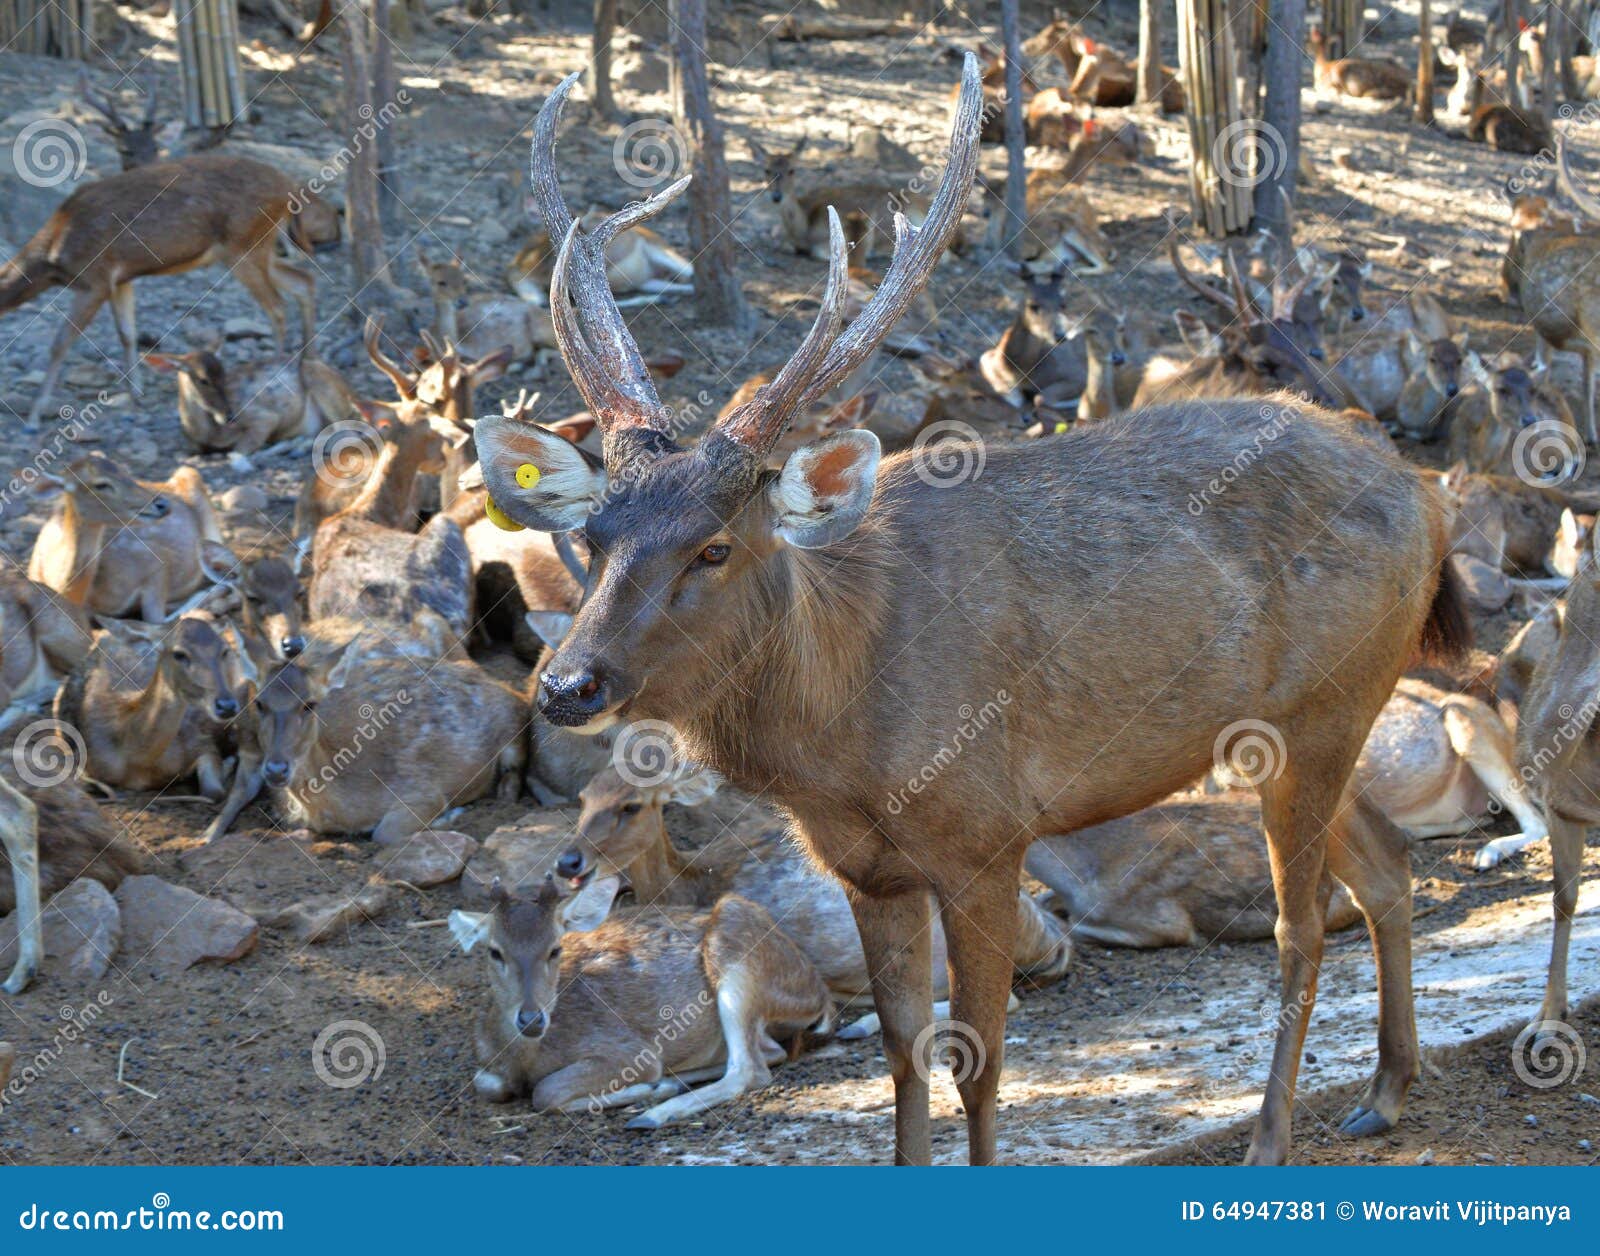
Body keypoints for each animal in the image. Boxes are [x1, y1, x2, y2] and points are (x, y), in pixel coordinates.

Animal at [0, 153, 317, 428]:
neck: (53, 258)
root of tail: (289, 187)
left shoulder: (95, 280)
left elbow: (60, 343)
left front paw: (33, 417)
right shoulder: (120, 279)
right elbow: (127, 334)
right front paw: (136, 393)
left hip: (244, 245)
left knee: (276, 305)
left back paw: (276, 367)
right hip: (260, 246)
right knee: (303, 281)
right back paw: (307, 357)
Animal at [145, 347, 357, 456]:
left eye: (224, 375)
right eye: (203, 380)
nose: (229, 415)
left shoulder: (264, 417)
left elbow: (237, 452)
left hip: (322, 387)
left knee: (349, 430)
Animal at [449, 874, 833, 1127]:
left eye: (555, 948)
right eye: (495, 951)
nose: (531, 1018)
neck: (522, 1058)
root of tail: (818, 994)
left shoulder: (630, 1051)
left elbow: (546, 1092)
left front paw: (647, 1088)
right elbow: (487, 1083)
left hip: (738, 956)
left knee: (751, 1068)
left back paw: (654, 1113)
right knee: (770, 1052)